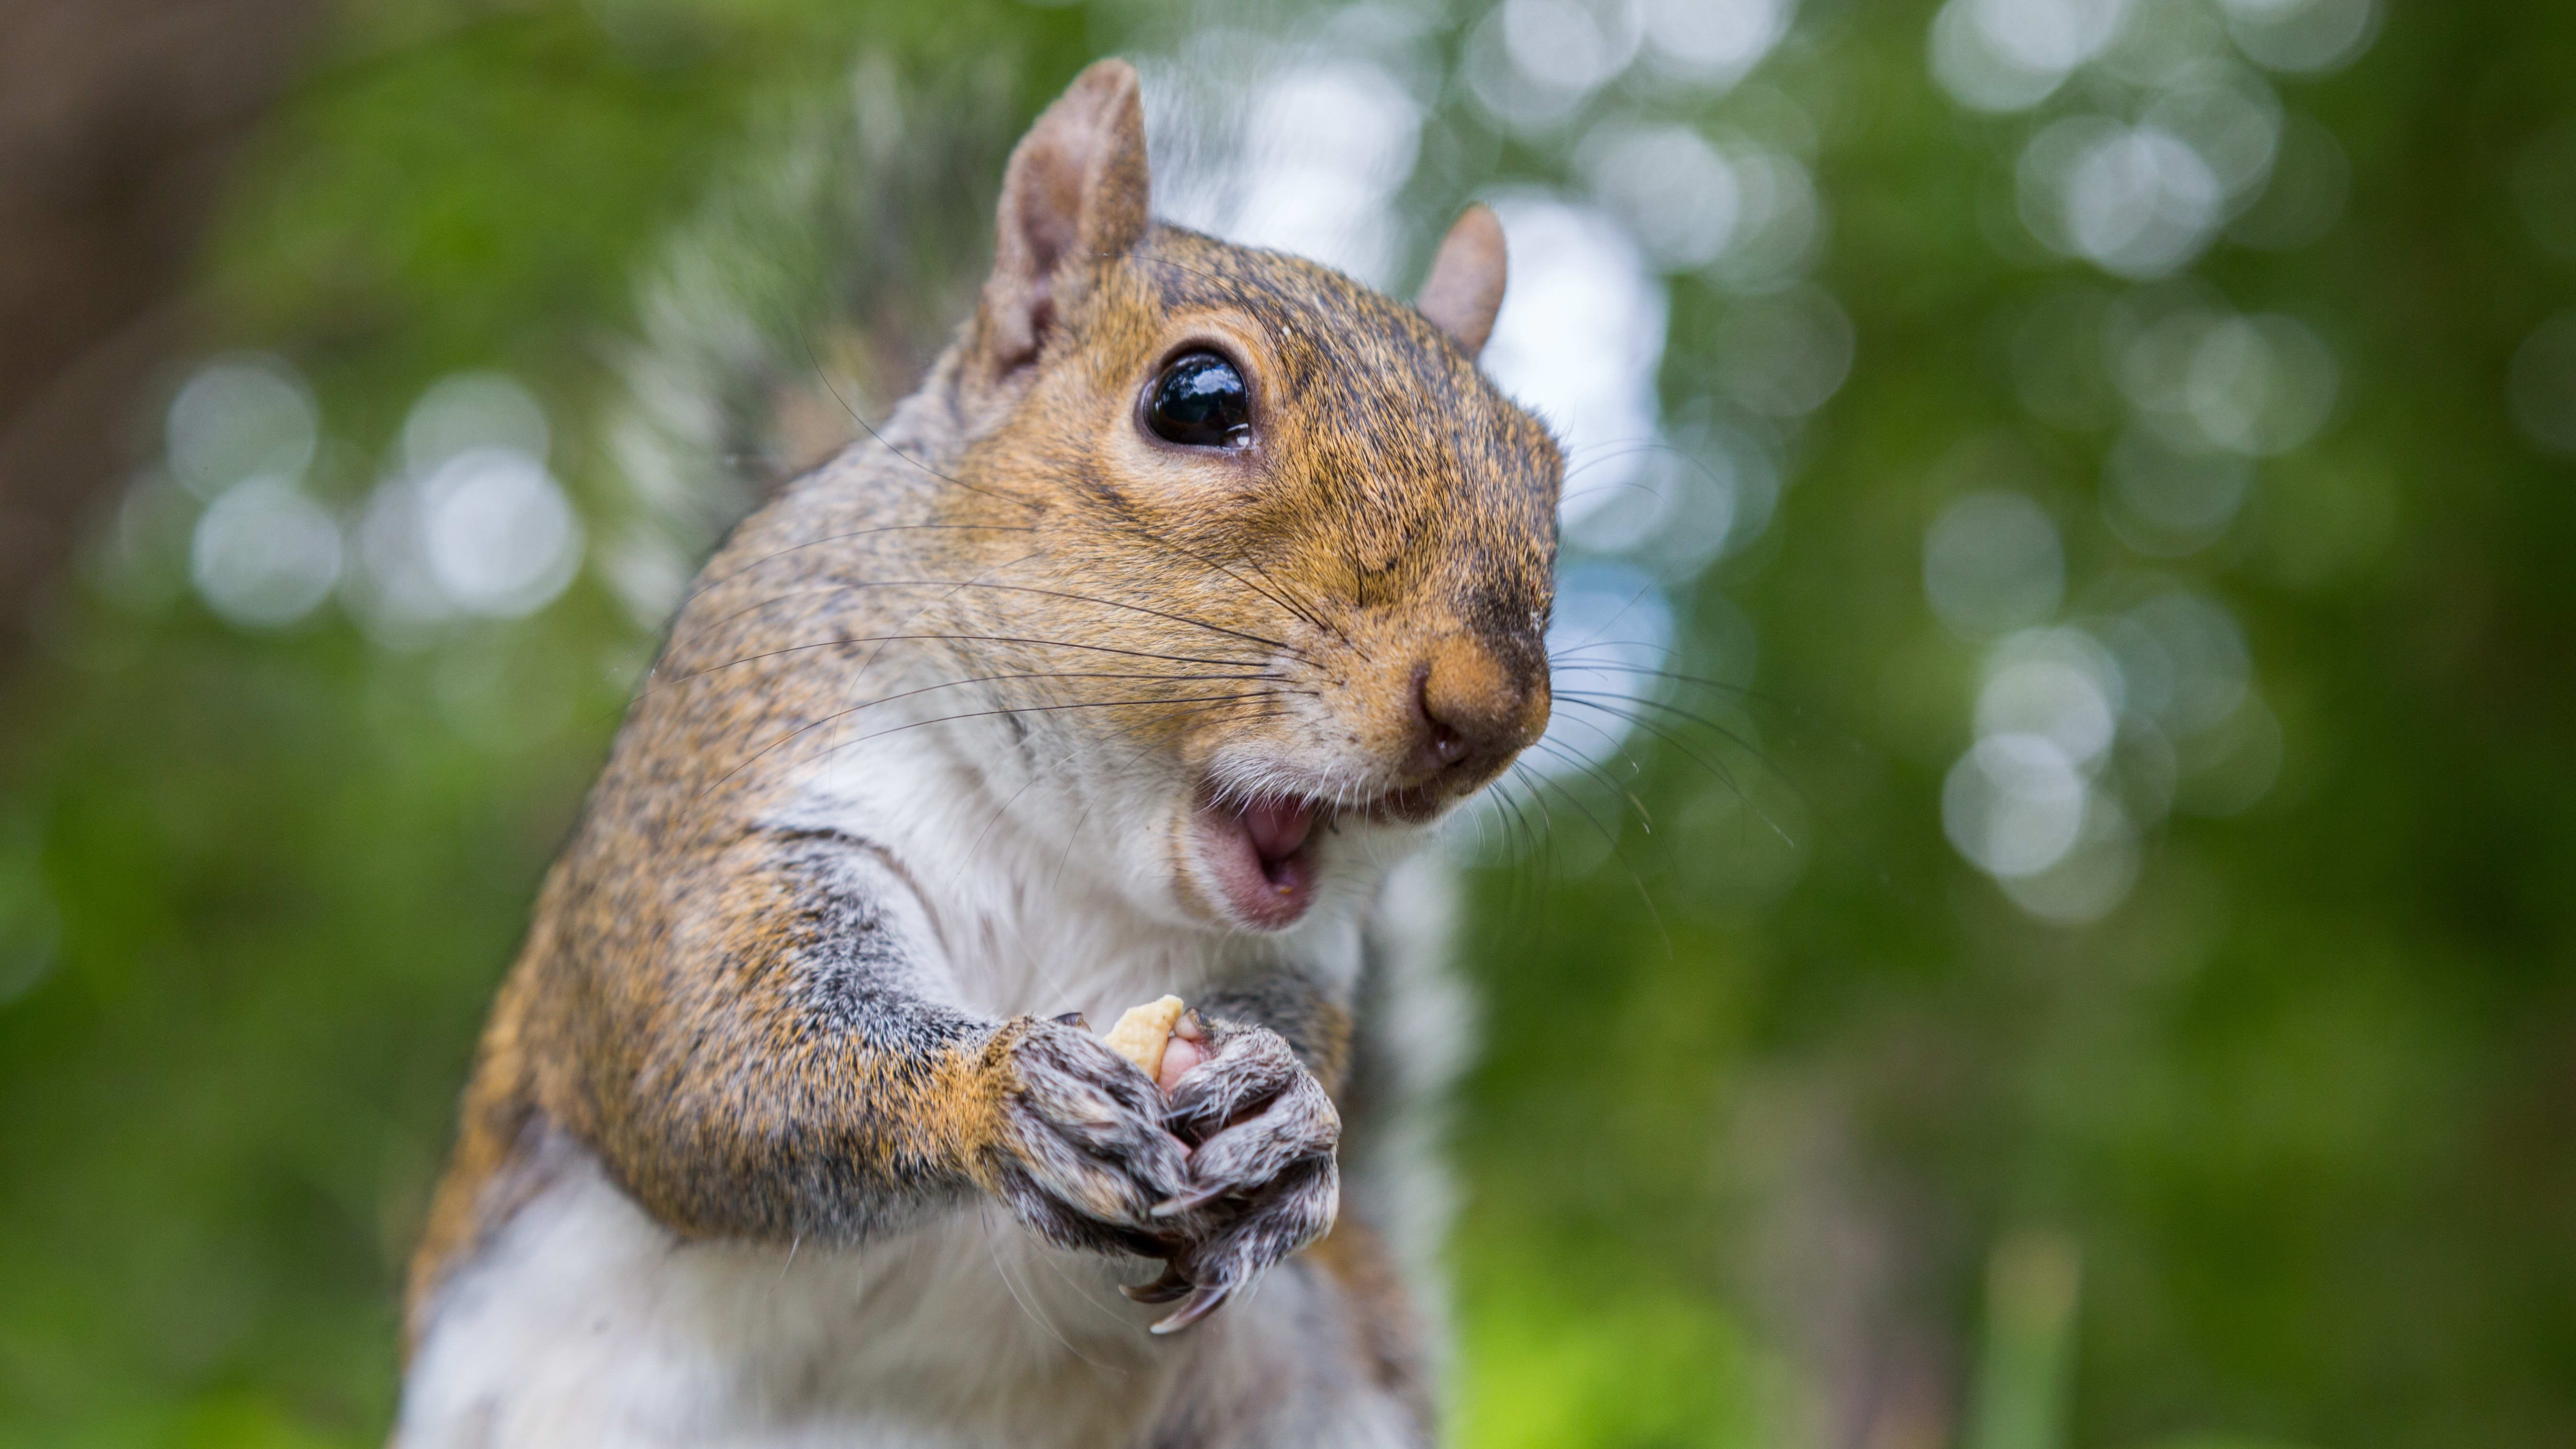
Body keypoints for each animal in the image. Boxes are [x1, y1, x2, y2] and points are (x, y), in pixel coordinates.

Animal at [393, 58, 1560, 1449]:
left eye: (1547, 471)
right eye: (1197, 398)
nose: (1491, 709)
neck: (1068, 844)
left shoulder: (1289, 954)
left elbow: (1297, 1039)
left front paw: (1286, 1118)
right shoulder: (731, 795)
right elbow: (703, 1053)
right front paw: (995, 1093)